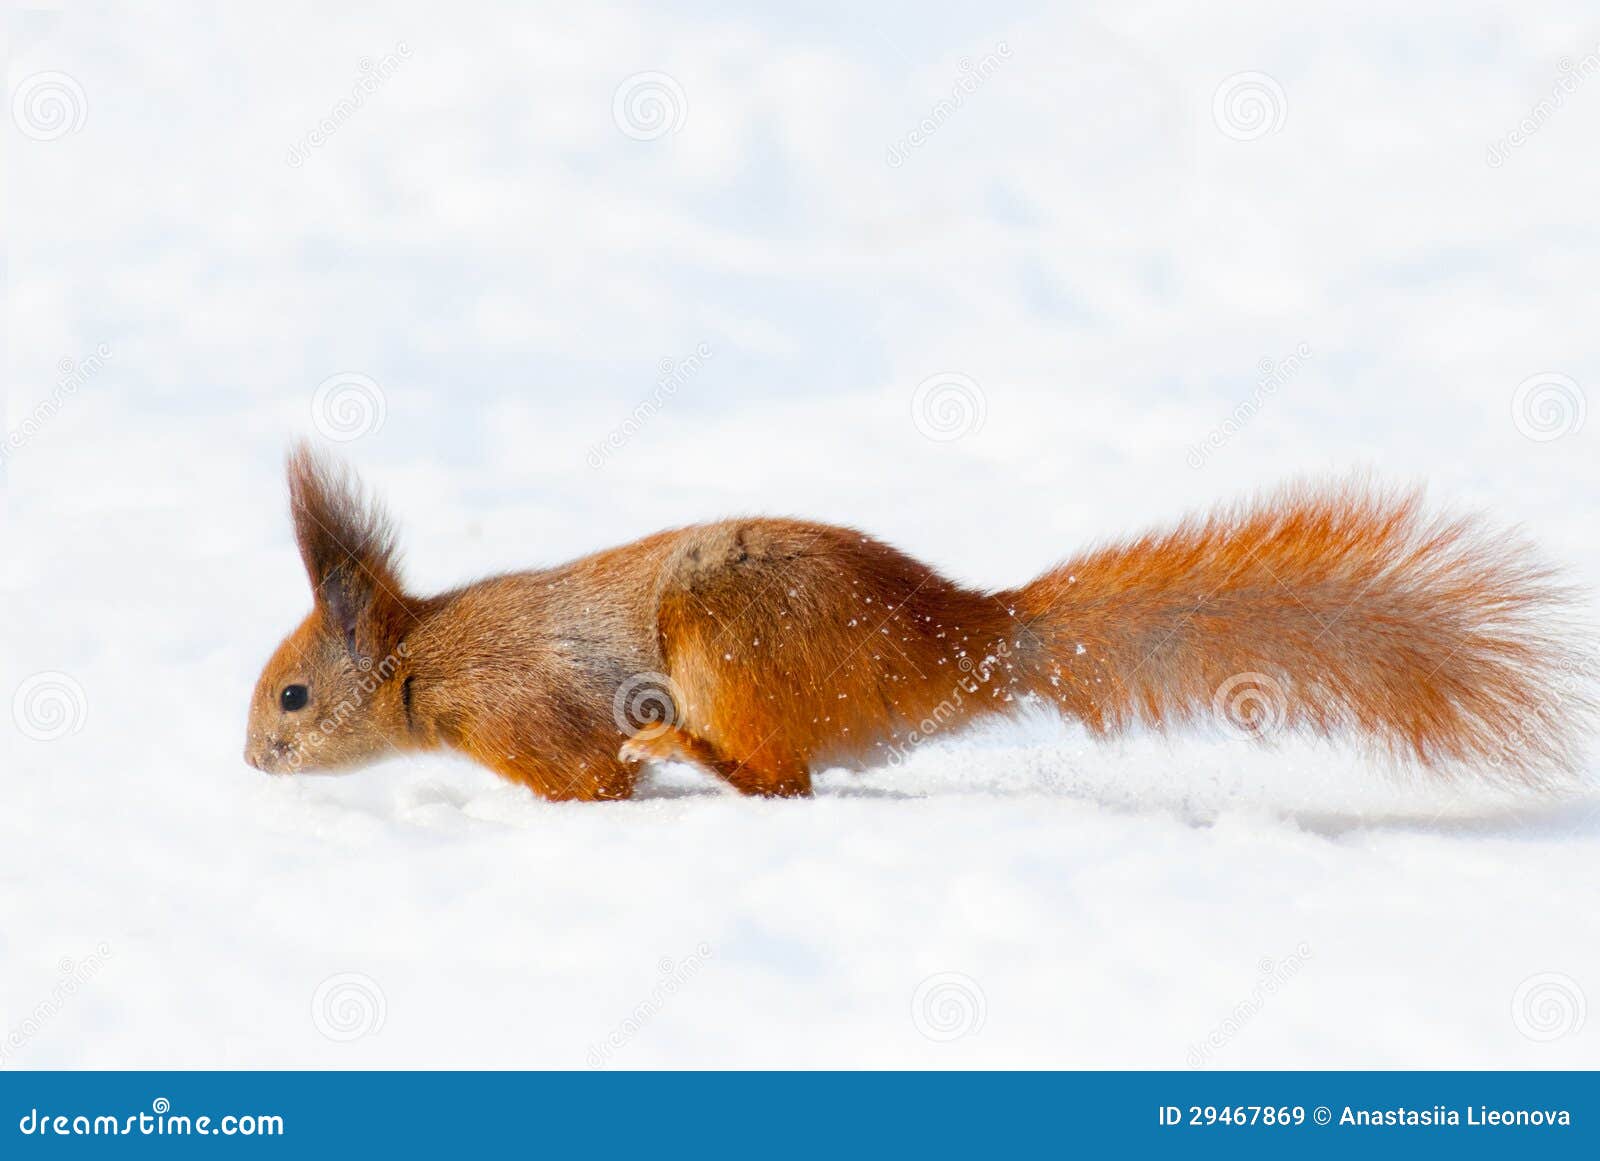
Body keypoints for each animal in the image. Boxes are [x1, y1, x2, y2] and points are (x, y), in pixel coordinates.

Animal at [244, 443, 1590, 800]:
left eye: (293, 696)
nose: (254, 762)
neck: (420, 663)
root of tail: (959, 639)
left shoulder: (518, 707)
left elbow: (588, 781)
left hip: (732, 639)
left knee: (778, 780)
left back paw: (686, 750)